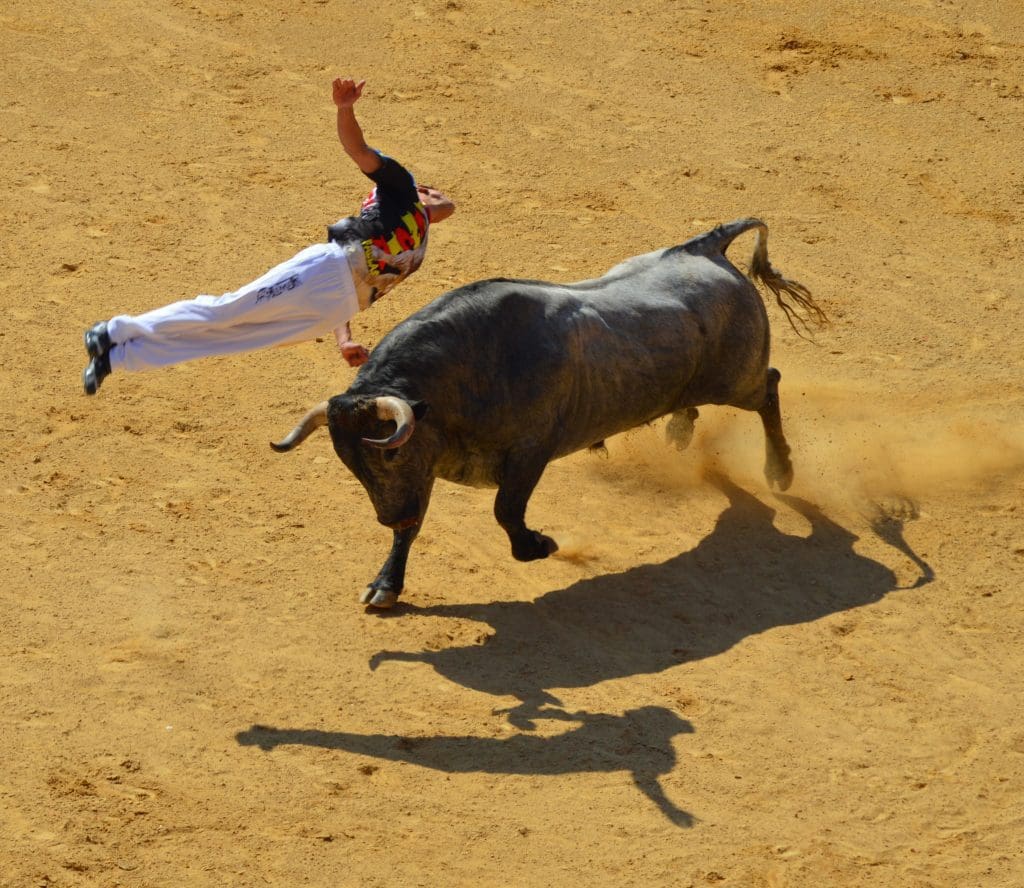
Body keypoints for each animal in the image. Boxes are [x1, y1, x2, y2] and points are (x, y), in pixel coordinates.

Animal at [271, 218, 826, 608]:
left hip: (737, 380)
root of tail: (707, 246)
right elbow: (415, 527)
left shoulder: (527, 453)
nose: (387, 514)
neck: (466, 369)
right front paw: (385, 585)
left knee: (769, 388)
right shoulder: (423, 472)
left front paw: (539, 545)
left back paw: (781, 470)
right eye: (350, 465)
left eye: (386, 456)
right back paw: (679, 428)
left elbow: (506, 511)